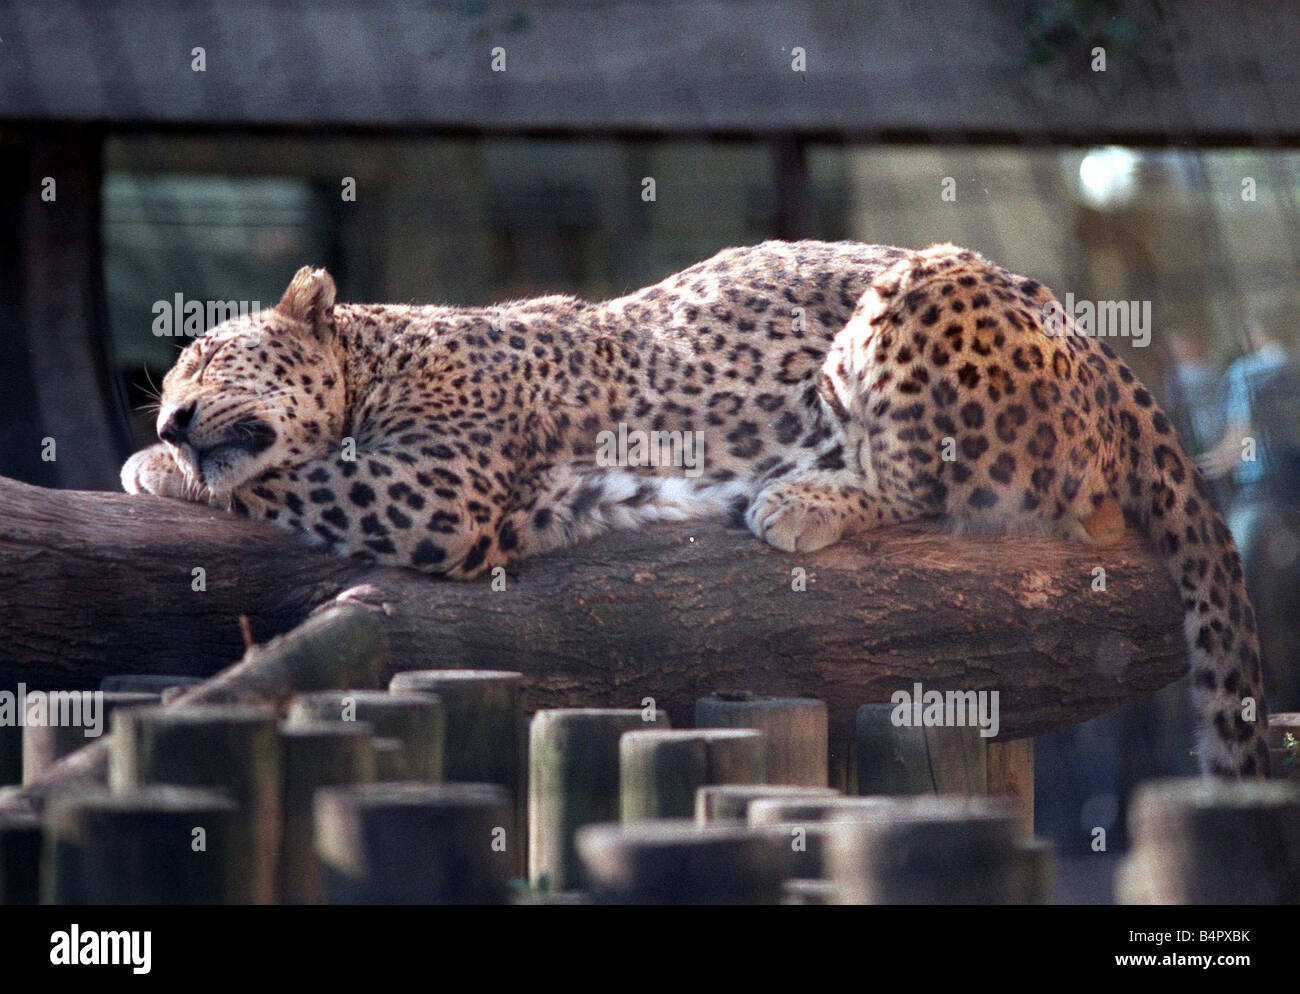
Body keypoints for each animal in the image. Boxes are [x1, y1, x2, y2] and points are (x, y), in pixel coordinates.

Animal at [121, 240, 1269, 778]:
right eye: (172, 374)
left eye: (208, 357)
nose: (173, 417)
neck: (378, 353)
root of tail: (1105, 354)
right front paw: (155, 462)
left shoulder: (440, 487)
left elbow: (288, 473)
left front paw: (163, 471)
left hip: (917, 283)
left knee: (926, 477)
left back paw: (796, 497)